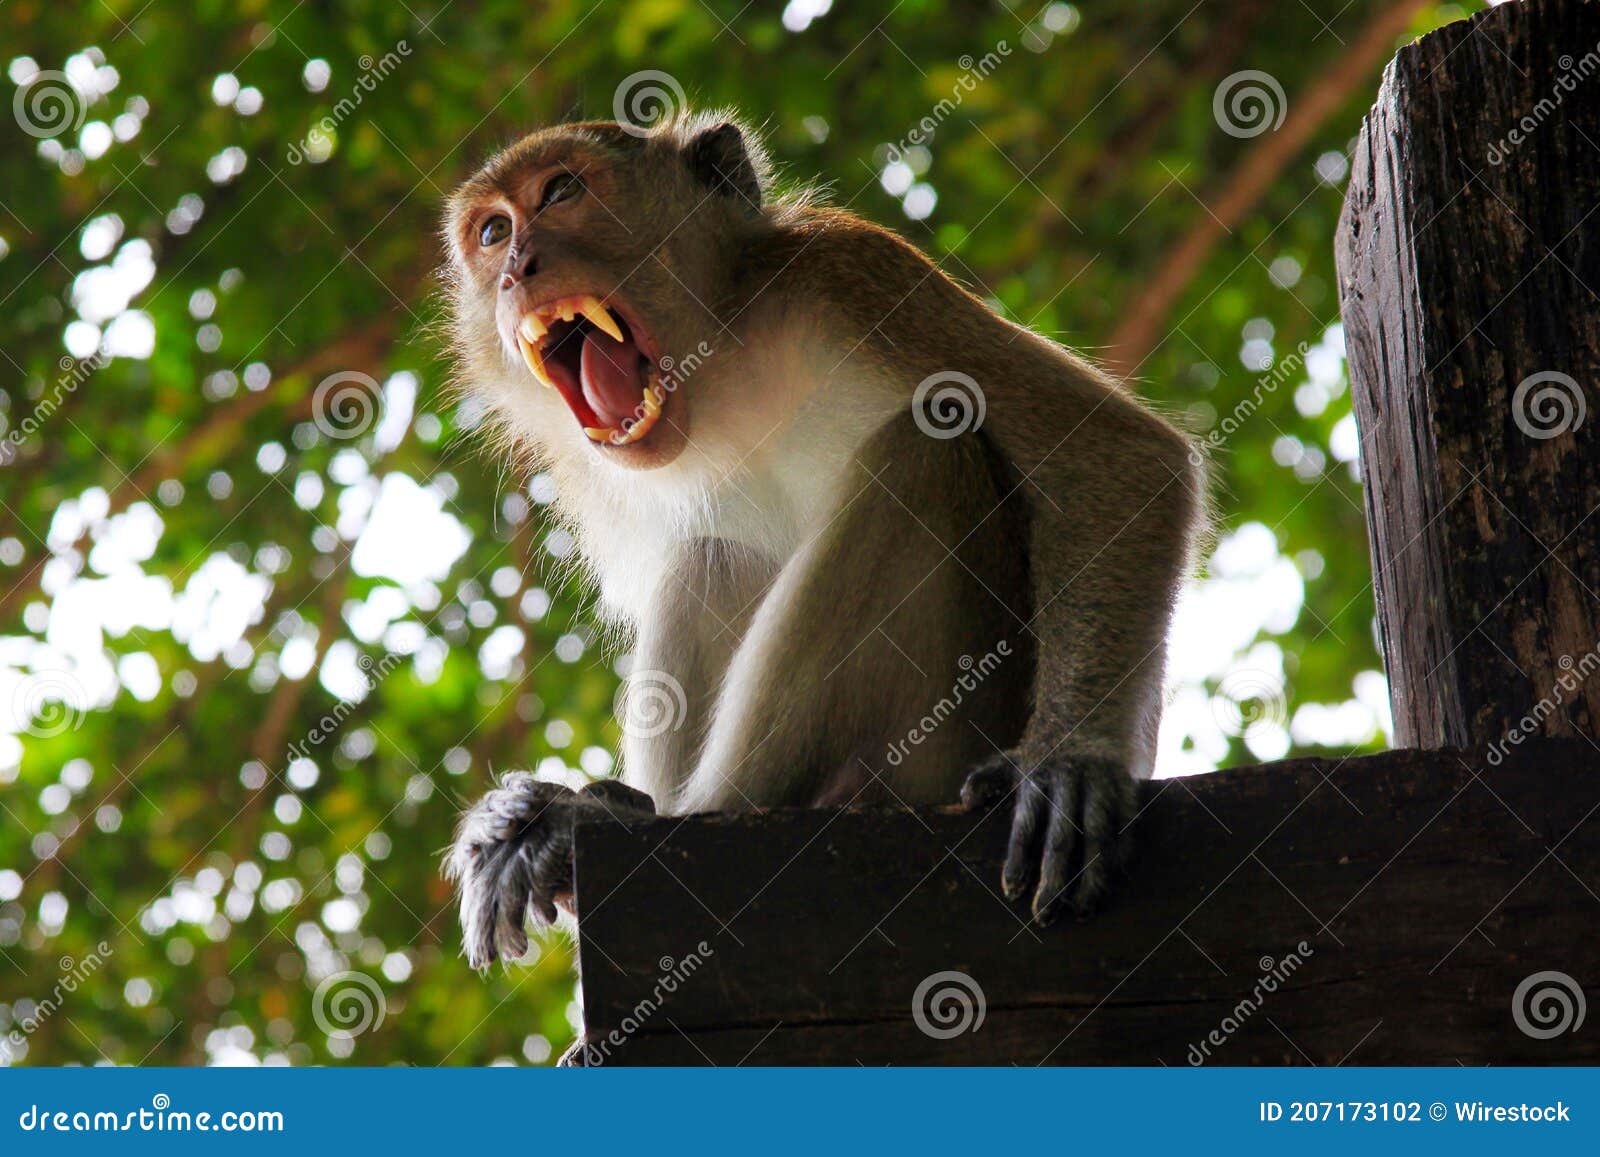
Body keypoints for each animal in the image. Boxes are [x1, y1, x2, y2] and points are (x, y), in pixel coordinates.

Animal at [442, 110, 1203, 971]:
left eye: (562, 191)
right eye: (493, 231)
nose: (516, 268)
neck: (719, 360)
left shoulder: (847, 272)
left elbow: (1117, 453)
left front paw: (1074, 760)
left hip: (941, 749)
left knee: (924, 453)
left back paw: (659, 814)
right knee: (714, 552)